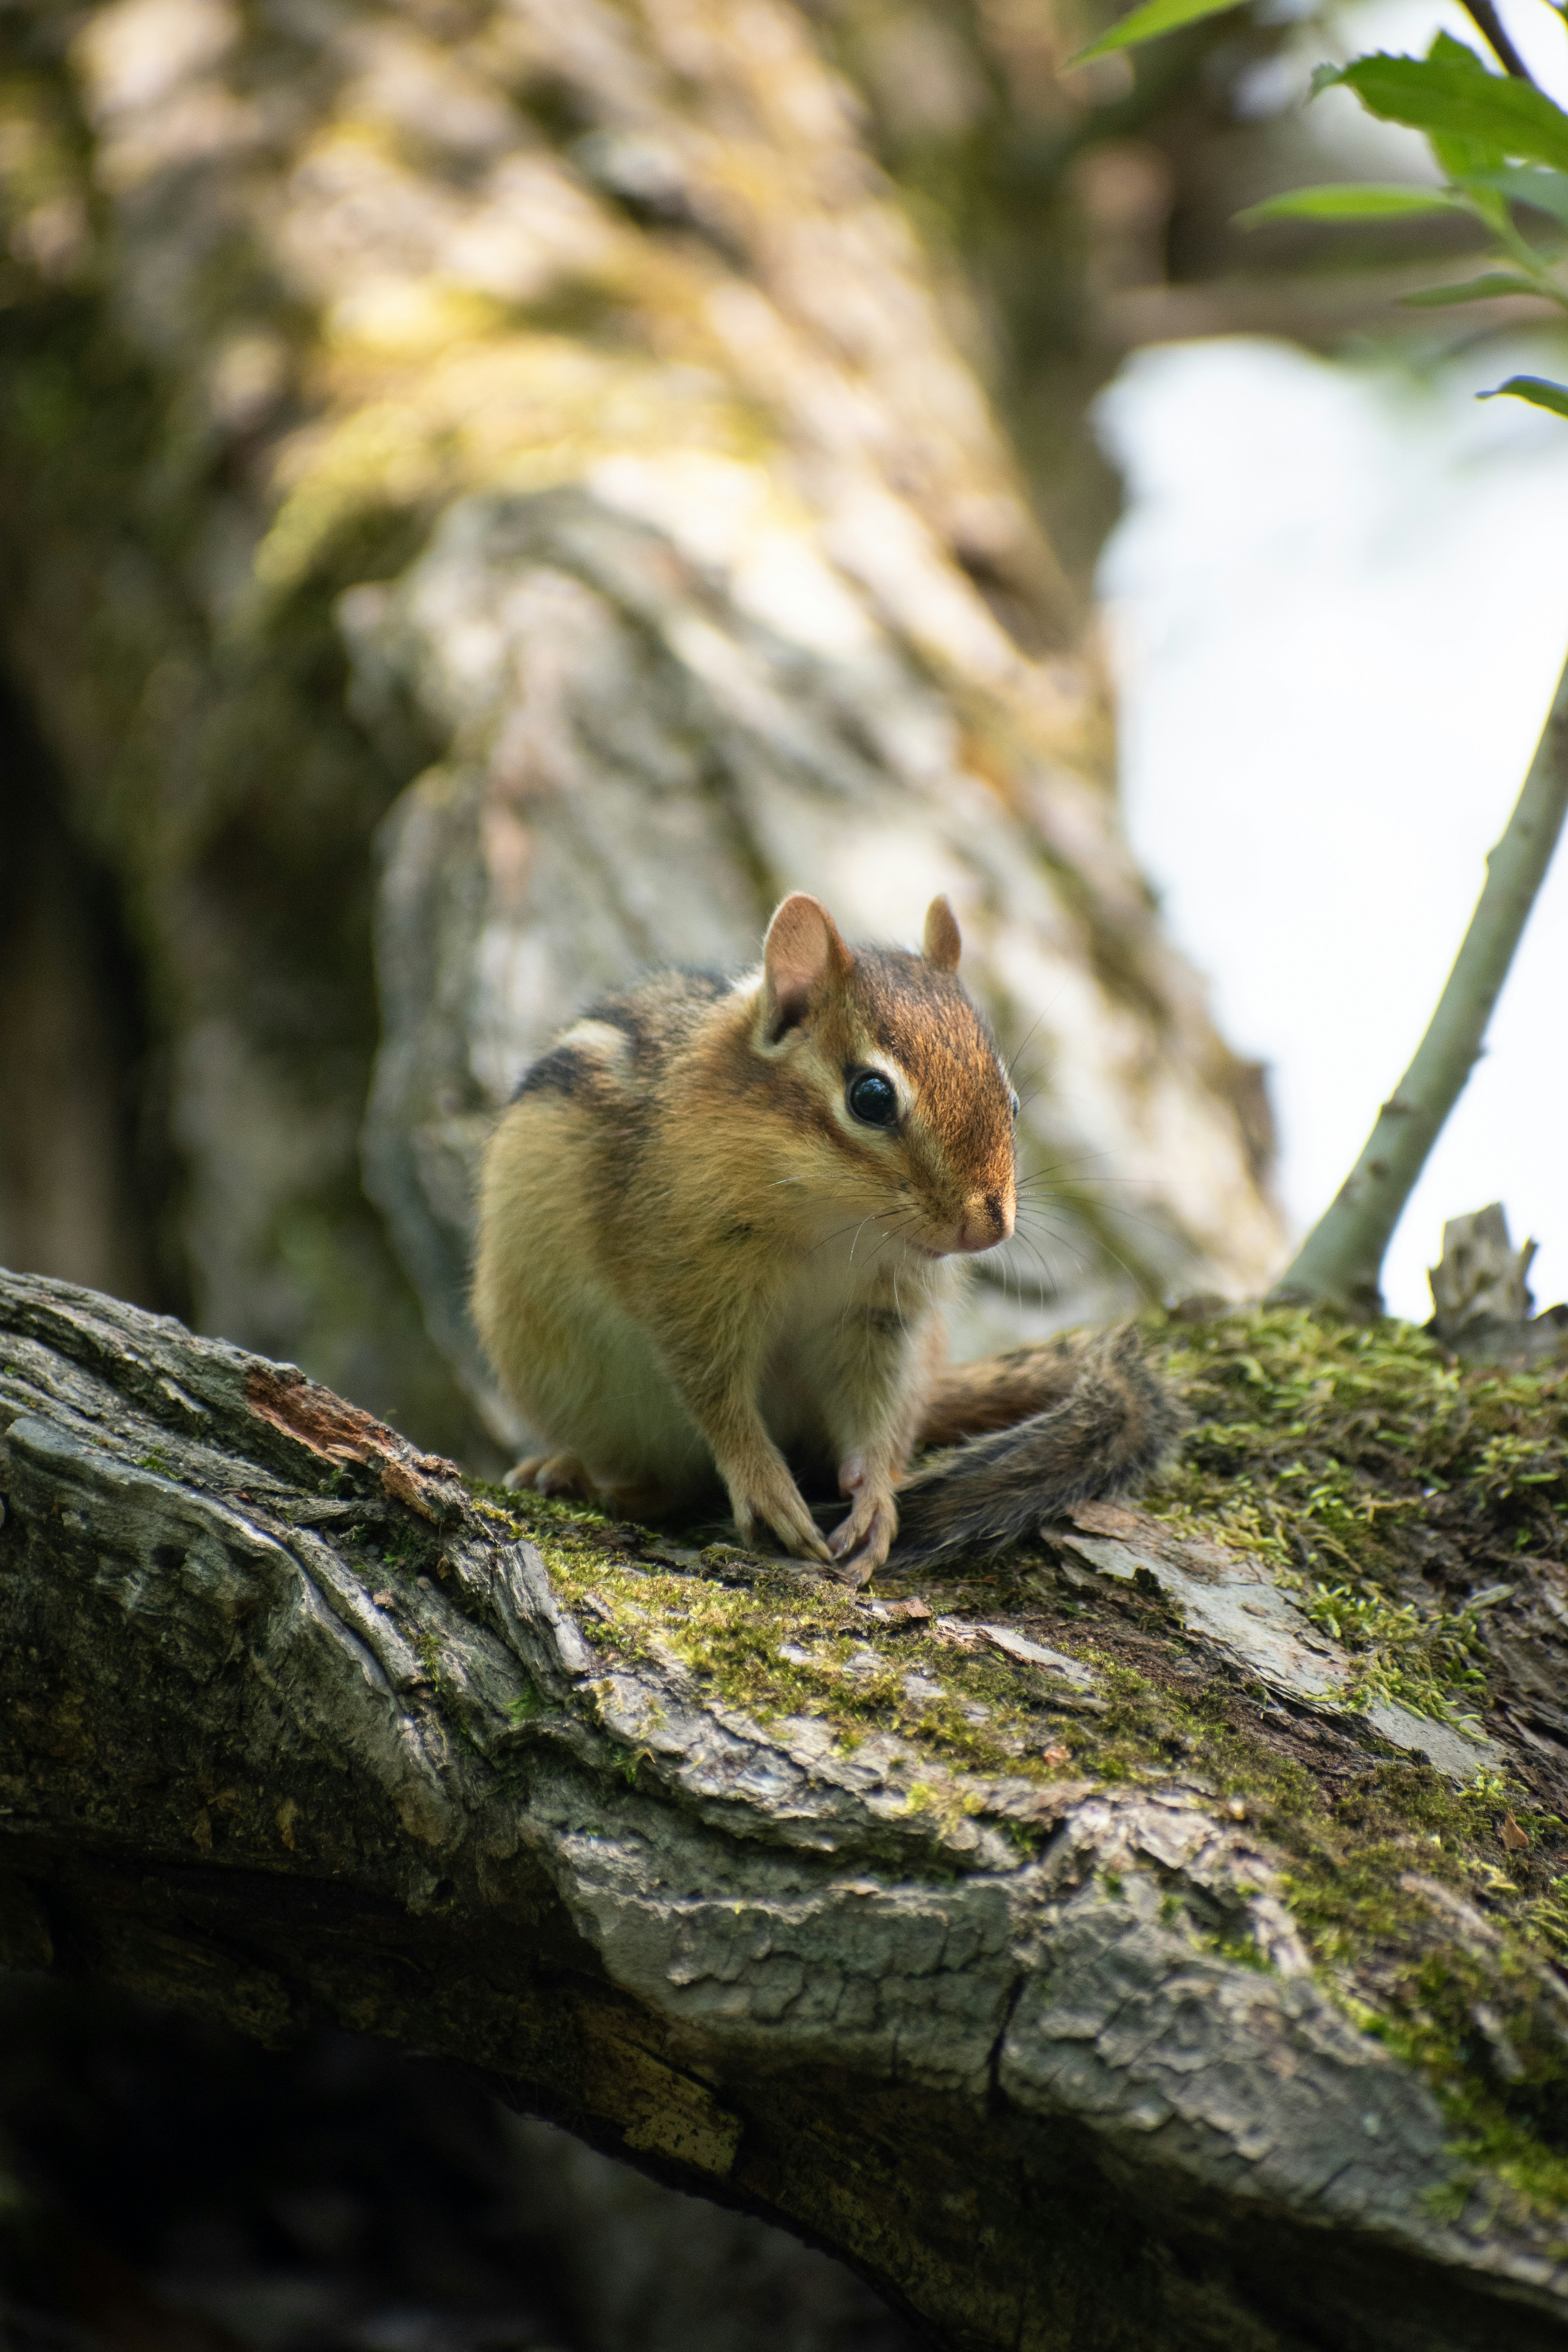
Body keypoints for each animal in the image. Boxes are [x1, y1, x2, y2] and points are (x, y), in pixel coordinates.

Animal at [472, 892, 1182, 1583]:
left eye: (1009, 1101)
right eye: (871, 1097)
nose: (987, 1228)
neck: (831, 1224)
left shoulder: (879, 1318)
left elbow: (871, 1413)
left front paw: (875, 1501)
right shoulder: (685, 1282)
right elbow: (715, 1394)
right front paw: (765, 1485)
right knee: (663, 1480)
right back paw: (573, 1475)